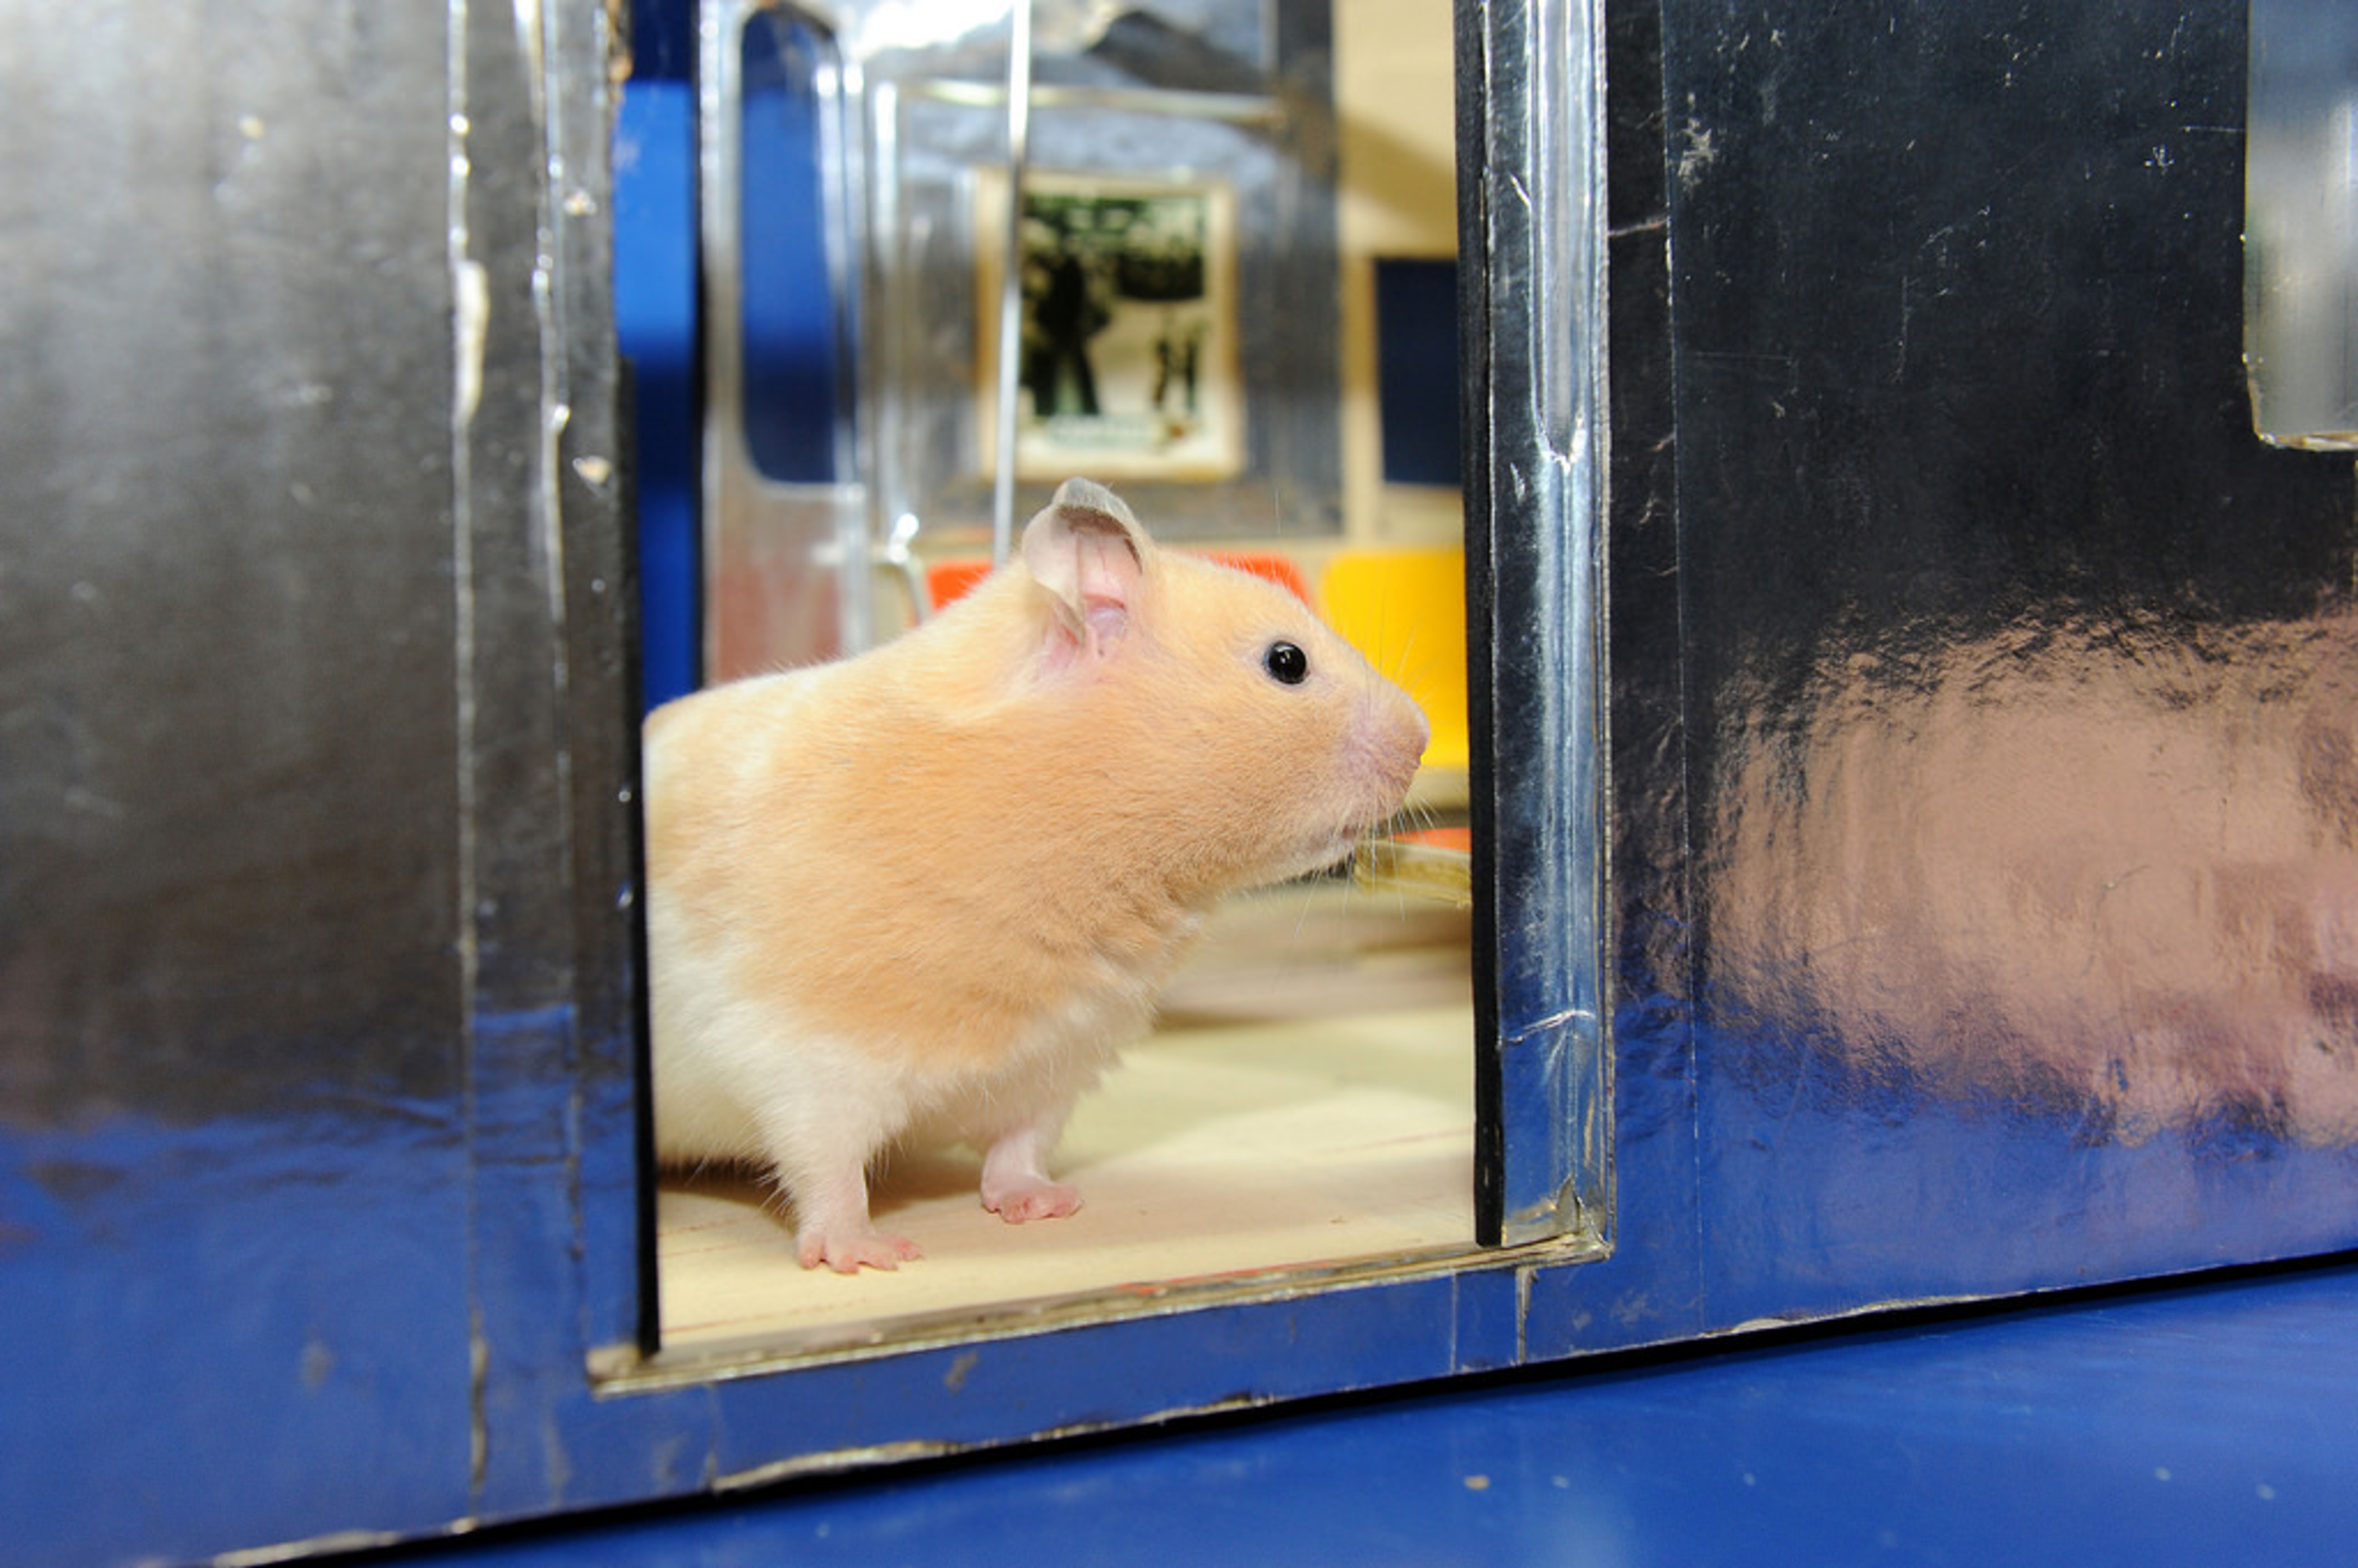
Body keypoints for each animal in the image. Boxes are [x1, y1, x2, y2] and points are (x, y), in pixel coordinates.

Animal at [643, 477, 1431, 1272]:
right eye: (1287, 662)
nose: (1423, 737)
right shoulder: (809, 1057)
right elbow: (825, 1168)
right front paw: (871, 1252)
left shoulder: (1056, 1061)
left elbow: (1019, 1147)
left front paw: (1045, 1206)